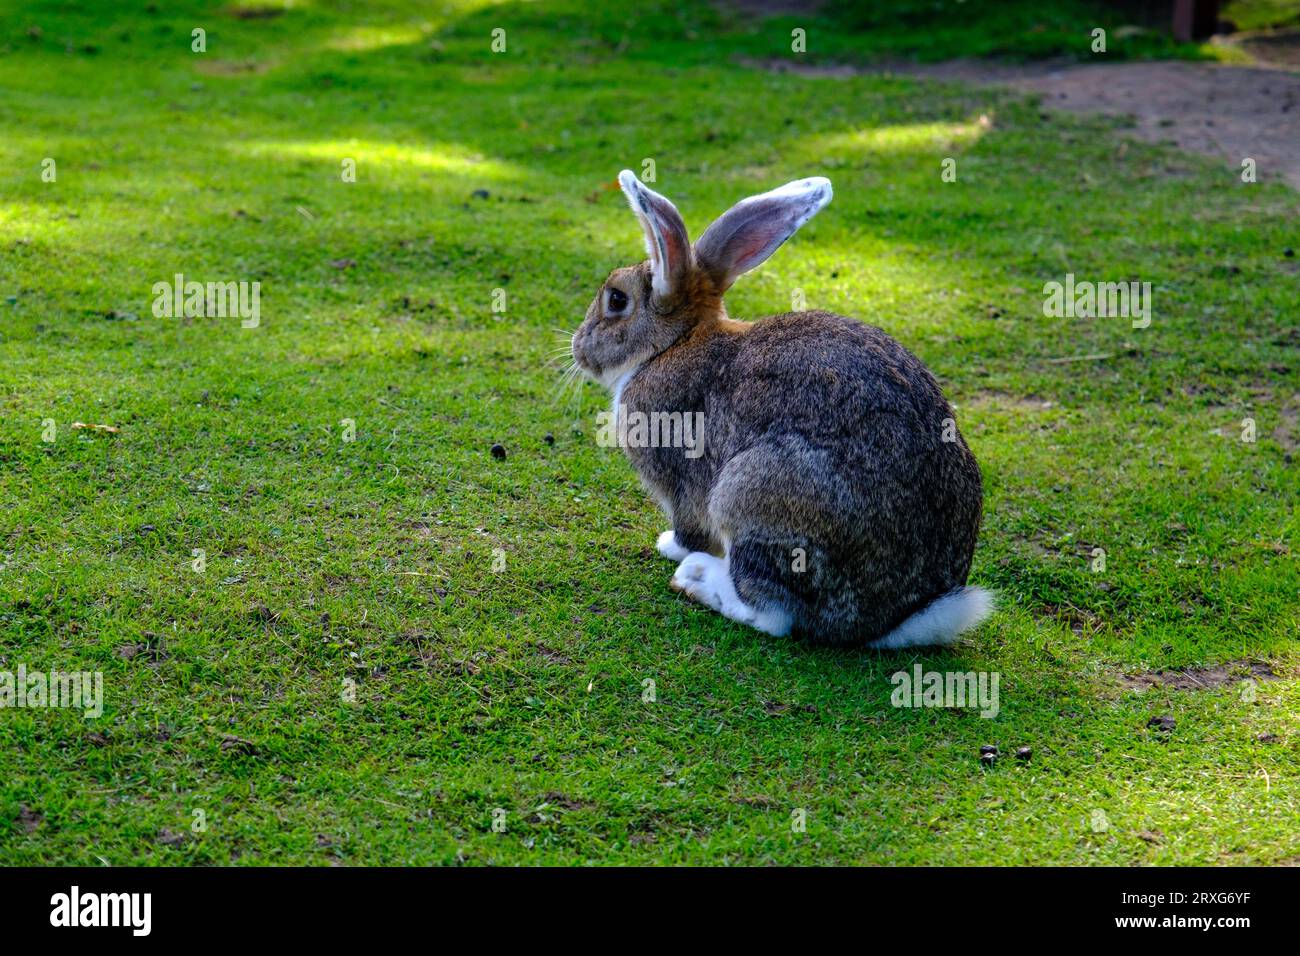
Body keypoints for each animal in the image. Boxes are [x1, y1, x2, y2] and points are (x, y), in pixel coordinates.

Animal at [570, 170, 992, 648]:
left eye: (616, 300)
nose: (579, 349)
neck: (673, 344)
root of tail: (891, 619)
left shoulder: (679, 480)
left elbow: (689, 527)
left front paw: (669, 546)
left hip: (750, 494)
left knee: (772, 614)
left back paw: (697, 578)